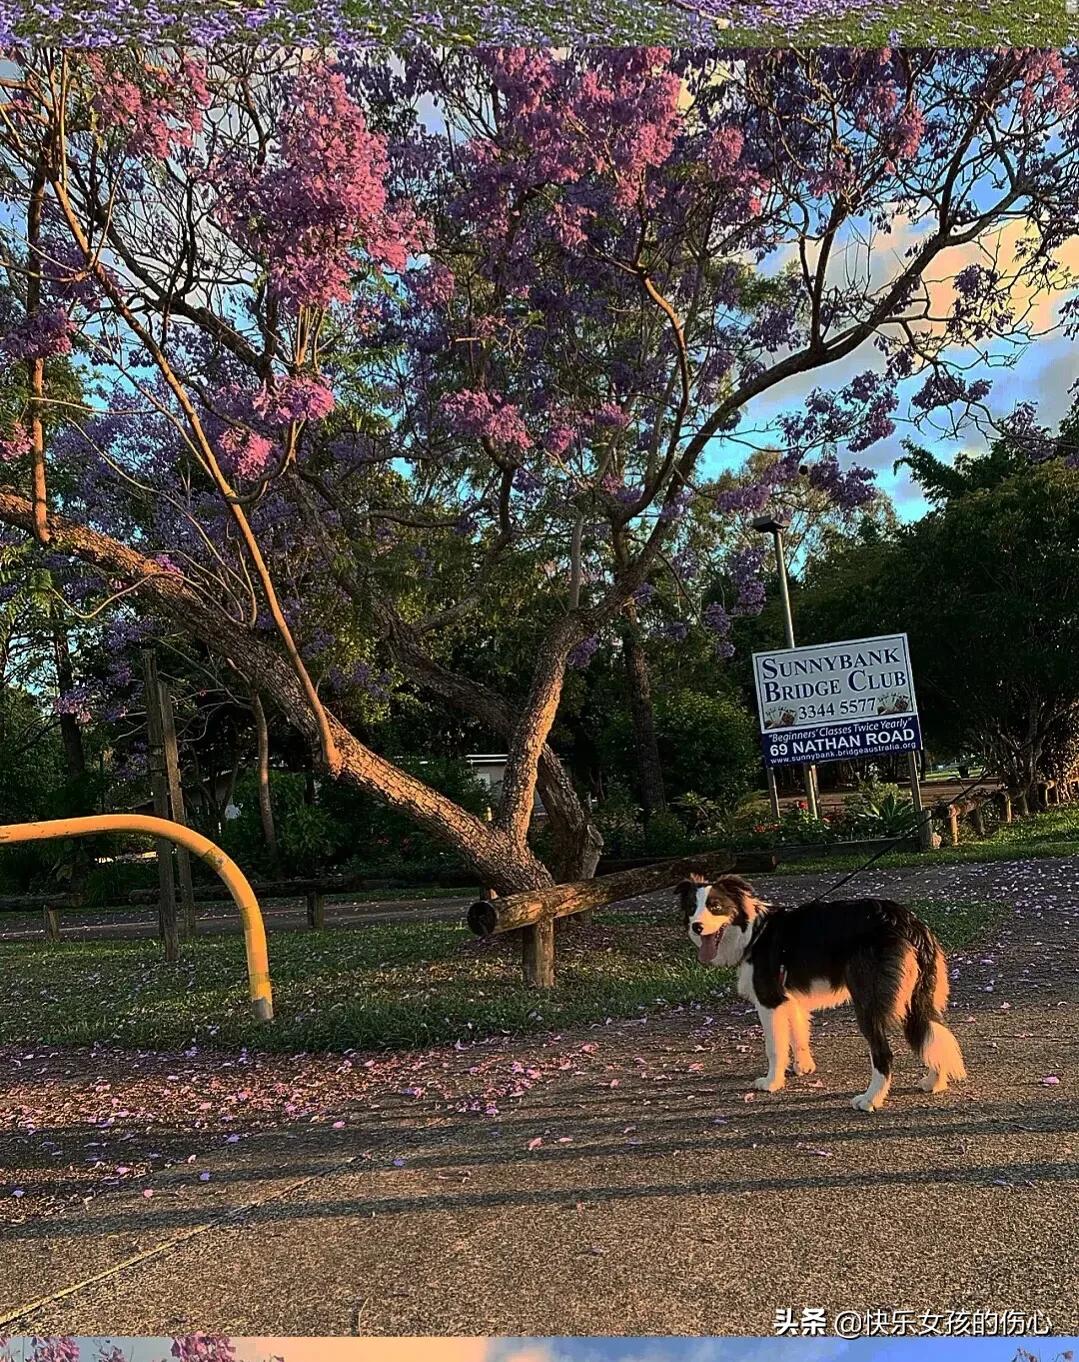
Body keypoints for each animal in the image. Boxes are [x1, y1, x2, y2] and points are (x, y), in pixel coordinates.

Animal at [678, 877, 964, 1111]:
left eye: (715, 906)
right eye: (692, 908)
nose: (696, 927)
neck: (753, 931)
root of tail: (909, 923)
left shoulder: (769, 1001)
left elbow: (774, 1047)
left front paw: (772, 1082)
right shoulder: (791, 999)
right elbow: (798, 1035)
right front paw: (803, 1067)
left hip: (868, 1003)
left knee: (884, 1054)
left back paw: (870, 1099)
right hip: (919, 998)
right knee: (933, 1031)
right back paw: (934, 1081)